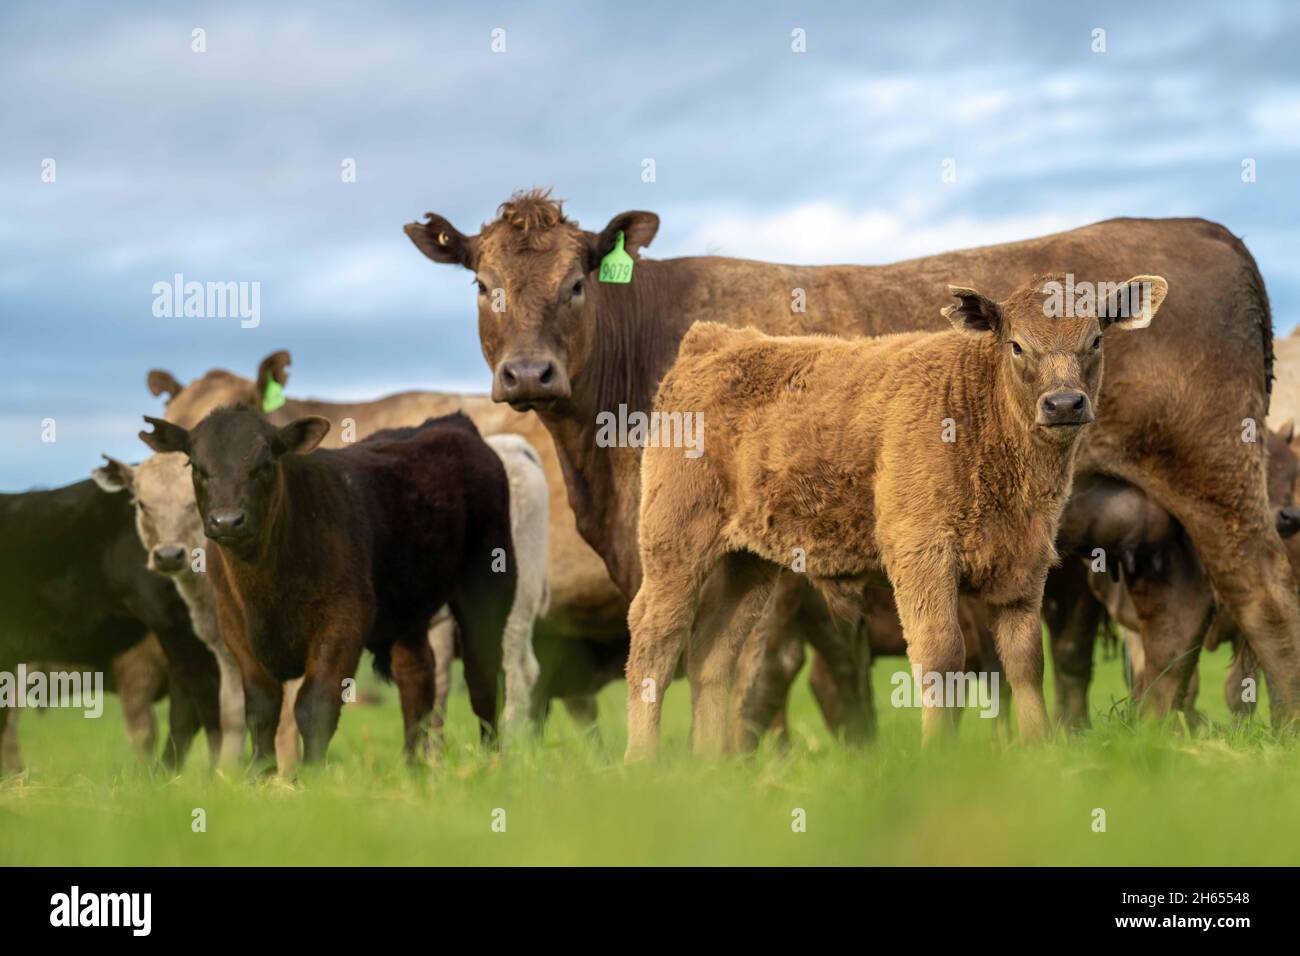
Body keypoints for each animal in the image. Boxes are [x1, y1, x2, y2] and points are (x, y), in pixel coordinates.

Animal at [139, 409, 517, 765]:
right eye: (195, 466)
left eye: (266, 464)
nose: (228, 521)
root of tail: (451, 423)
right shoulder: (235, 627)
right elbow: (262, 708)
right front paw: (260, 775)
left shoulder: (343, 619)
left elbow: (315, 706)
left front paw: (310, 777)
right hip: (408, 606)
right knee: (416, 677)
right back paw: (414, 770)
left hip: (488, 586)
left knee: (484, 679)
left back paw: (493, 762)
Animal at [405, 191, 1300, 732]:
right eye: (481, 283)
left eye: (580, 280)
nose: (528, 374)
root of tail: (1203, 227)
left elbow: (751, 682)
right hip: (1158, 536)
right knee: (1179, 635)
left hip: (1220, 486)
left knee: (1265, 604)